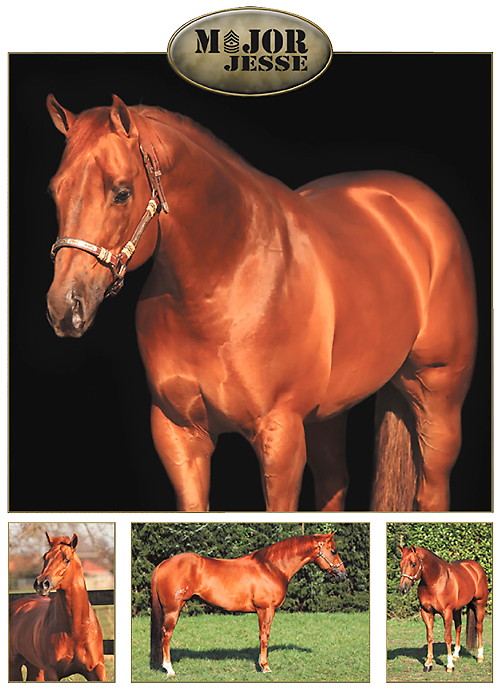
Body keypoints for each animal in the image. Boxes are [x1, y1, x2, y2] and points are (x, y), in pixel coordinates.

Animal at [9, 533, 107, 682]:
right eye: (45, 557)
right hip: (14, 667)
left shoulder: (97, 669)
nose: (41, 583)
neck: (75, 630)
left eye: (67, 560)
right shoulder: (51, 672)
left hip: (35, 669)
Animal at [45, 95, 477, 512]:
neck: (223, 284)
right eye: (56, 190)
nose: (65, 308)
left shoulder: (280, 437)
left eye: (121, 192)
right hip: (327, 415)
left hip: (438, 398)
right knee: (334, 484)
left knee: (433, 490)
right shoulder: (179, 436)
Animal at [150, 531, 346, 675]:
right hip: (173, 610)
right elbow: (265, 636)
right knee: (166, 635)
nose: (343, 574)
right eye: (334, 551)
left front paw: (260, 663)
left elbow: (262, 636)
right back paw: (169, 669)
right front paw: (265, 667)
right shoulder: (266, 609)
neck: (271, 567)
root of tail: (162, 564)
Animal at [398, 544, 488, 673]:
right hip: (457, 610)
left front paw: (450, 665)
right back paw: (456, 655)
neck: (435, 581)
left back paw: (480, 657)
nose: (403, 588)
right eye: (400, 563)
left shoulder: (446, 613)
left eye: (414, 564)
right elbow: (430, 636)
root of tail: (475, 567)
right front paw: (428, 664)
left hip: (480, 605)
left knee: (479, 628)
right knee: (458, 627)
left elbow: (447, 637)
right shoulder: (426, 612)